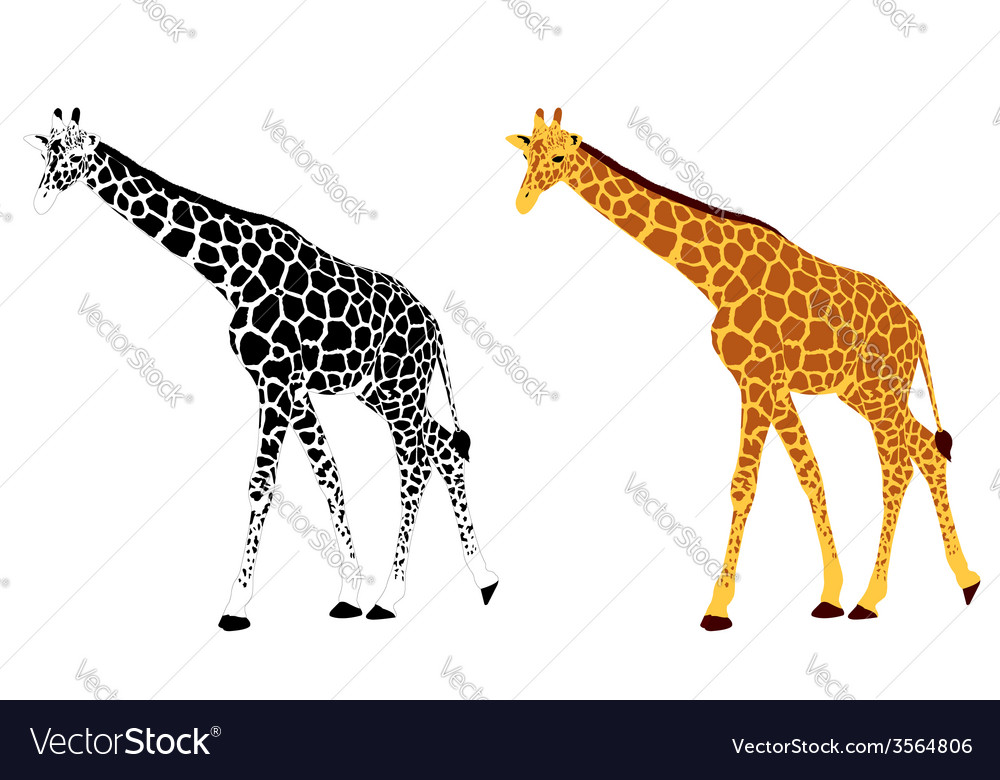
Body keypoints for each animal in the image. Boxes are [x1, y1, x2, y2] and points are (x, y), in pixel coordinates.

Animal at [25, 108, 498, 629]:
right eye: (47, 154)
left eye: (74, 156)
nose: (40, 201)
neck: (234, 272)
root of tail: (435, 327)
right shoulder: (294, 386)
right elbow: (329, 476)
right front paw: (348, 593)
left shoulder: (275, 379)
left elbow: (261, 484)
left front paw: (236, 606)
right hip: (377, 390)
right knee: (445, 450)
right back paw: (482, 579)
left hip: (401, 389)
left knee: (415, 466)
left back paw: (393, 597)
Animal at [507, 107, 979, 630]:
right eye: (526, 155)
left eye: (558, 157)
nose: (522, 202)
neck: (715, 274)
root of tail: (916, 326)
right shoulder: (772, 384)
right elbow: (811, 474)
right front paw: (828, 596)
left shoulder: (756, 378)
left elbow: (743, 485)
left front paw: (718, 607)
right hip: (861, 391)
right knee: (925, 452)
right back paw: (959, 582)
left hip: (881, 391)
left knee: (898, 468)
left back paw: (877, 598)